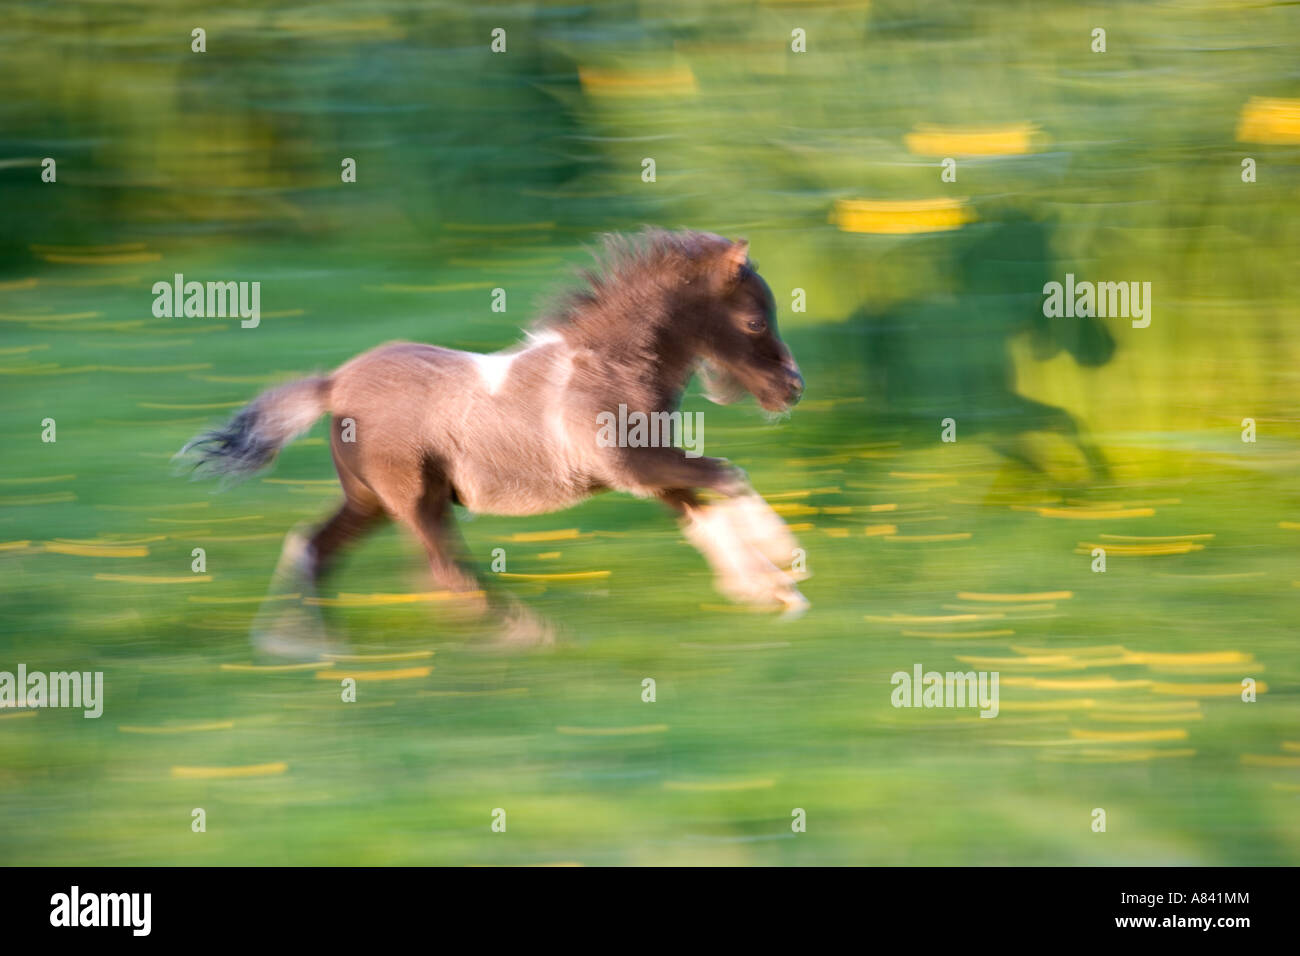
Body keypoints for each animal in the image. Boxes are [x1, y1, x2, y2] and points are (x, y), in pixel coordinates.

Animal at [180, 229, 808, 651]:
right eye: (756, 322)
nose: (793, 389)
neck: (603, 367)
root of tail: (334, 382)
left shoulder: (650, 476)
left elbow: (702, 517)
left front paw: (770, 593)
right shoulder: (640, 467)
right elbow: (729, 475)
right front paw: (785, 561)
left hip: (372, 500)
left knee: (313, 544)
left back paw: (305, 643)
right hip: (413, 498)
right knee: (441, 570)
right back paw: (527, 634)